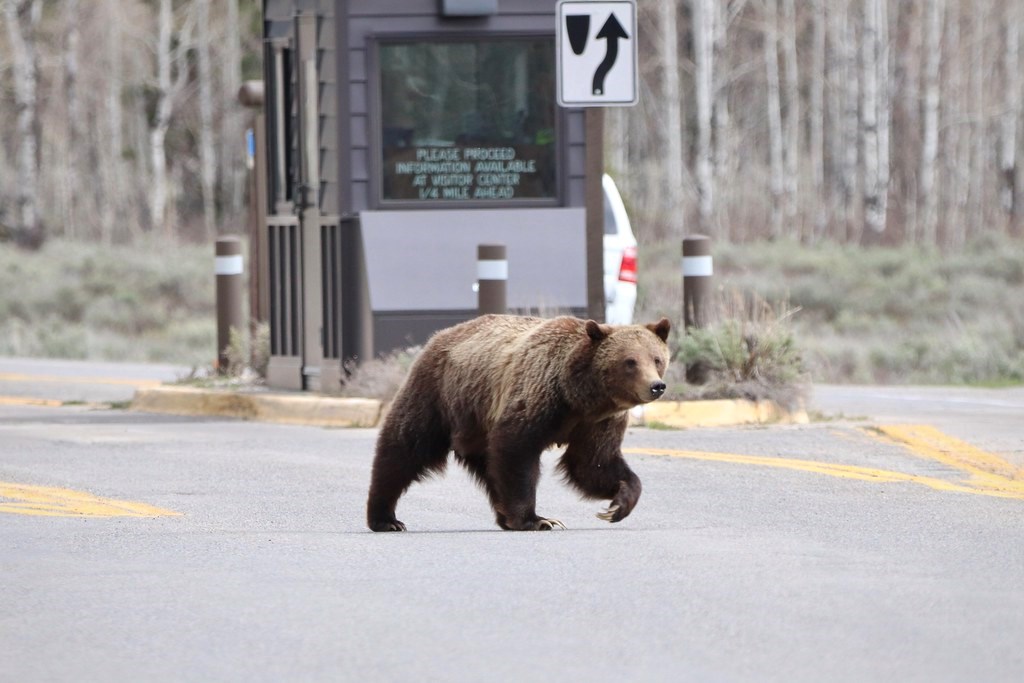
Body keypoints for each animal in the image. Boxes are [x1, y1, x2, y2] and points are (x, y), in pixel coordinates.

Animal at [366, 314, 672, 532]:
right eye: (630, 361)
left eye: (656, 358)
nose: (656, 386)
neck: (579, 396)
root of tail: (440, 335)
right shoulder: (537, 397)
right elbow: (517, 450)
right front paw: (538, 520)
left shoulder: (597, 422)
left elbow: (593, 463)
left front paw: (617, 505)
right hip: (440, 393)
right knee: (405, 447)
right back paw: (385, 518)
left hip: (477, 426)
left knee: (490, 469)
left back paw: (503, 517)